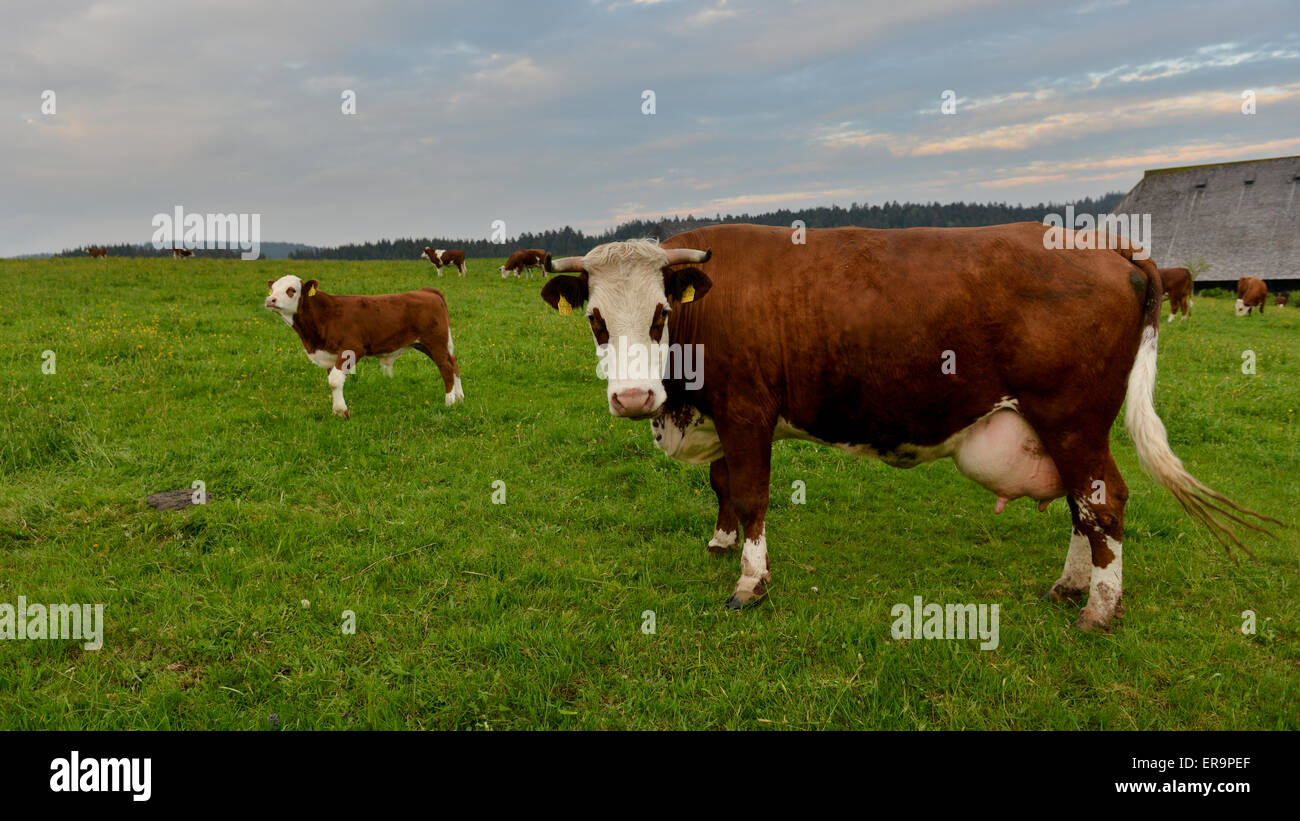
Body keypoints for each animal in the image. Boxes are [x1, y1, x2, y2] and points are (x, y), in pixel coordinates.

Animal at [264, 275, 464, 418]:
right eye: (272, 289)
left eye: (291, 290)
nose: (270, 300)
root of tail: (427, 291)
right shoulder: (329, 354)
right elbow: (332, 380)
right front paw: (336, 410)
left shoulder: (352, 348)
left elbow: (335, 380)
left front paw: (341, 411)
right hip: (425, 343)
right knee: (453, 362)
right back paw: (460, 397)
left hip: (435, 340)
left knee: (445, 366)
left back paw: (449, 402)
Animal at [540, 223, 1277, 631]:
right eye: (596, 319)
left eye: (661, 314)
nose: (634, 397)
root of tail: (1108, 247)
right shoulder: (724, 414)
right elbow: (723, 483)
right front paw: (721, 542)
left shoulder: (748, 408)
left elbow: (749, 493)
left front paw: (750, 581)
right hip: (1066, 427)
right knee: (1082, 503)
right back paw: (1071, 585)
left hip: (1073, 417)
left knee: (1104, 500)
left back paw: (1099, 606)